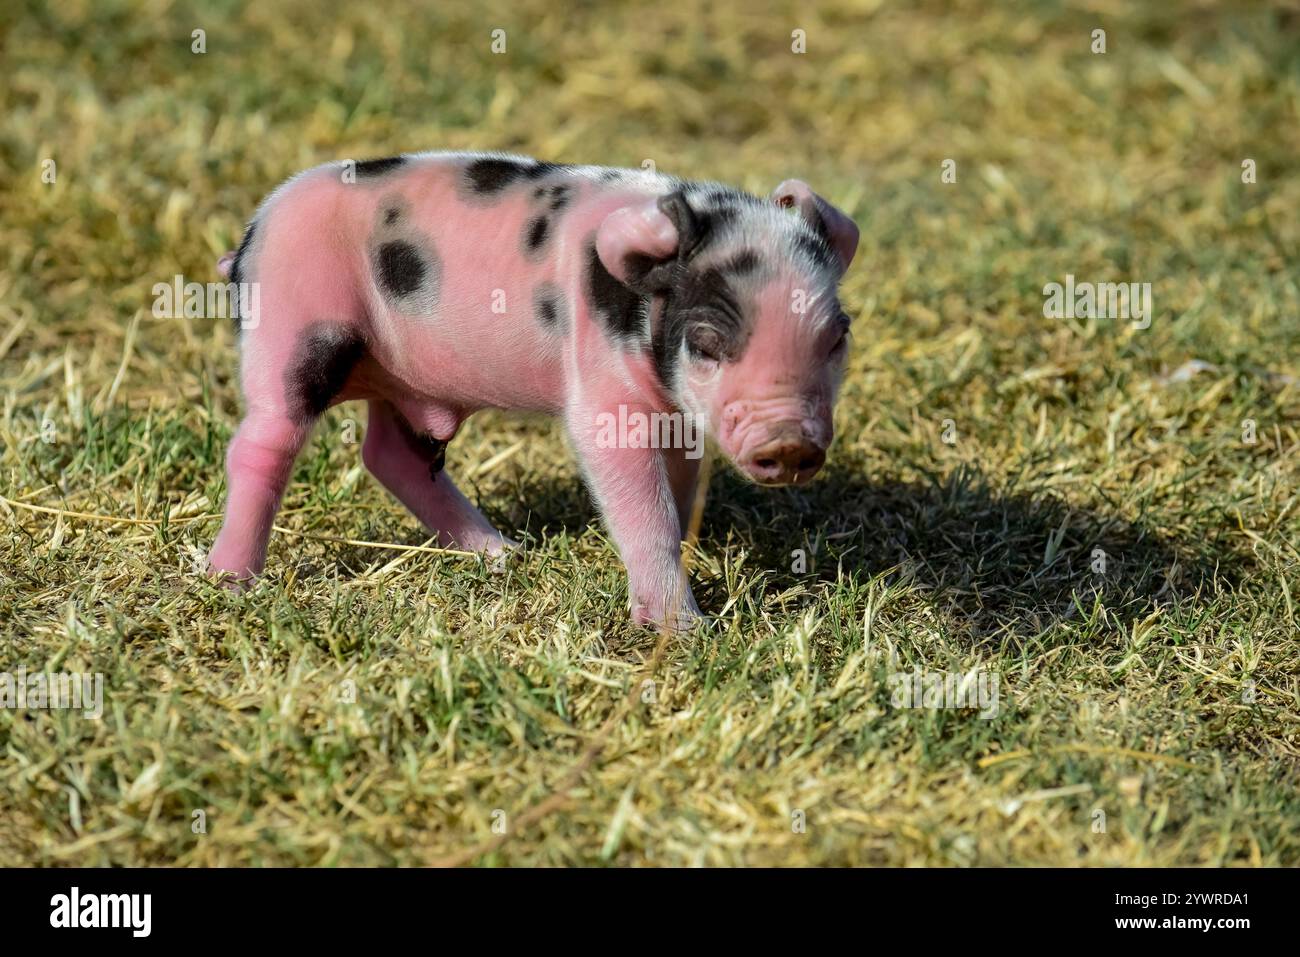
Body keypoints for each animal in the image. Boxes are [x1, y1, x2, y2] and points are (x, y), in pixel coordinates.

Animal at [207, 152, 859, 629]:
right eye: (705, 343)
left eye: (838, 337)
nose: (790, 443)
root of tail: (249, 239)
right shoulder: (601, 395)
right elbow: (635, 497)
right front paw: (685, 631)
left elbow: (679, 483)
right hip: (292, 329)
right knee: (260, 444)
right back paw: (231, 582)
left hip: (399, 379)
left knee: (389, 456)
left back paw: (505, 556)